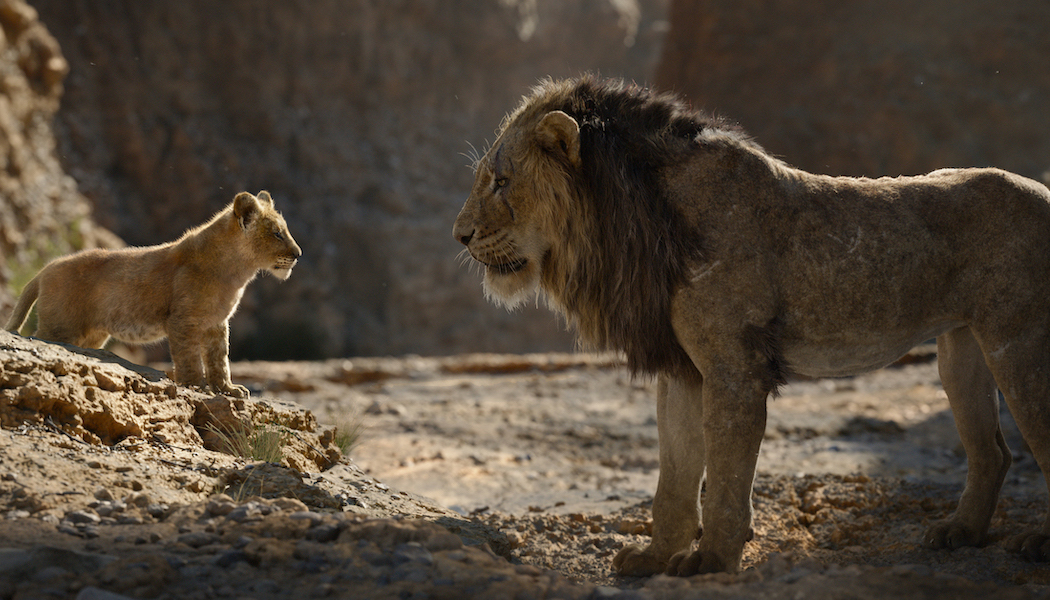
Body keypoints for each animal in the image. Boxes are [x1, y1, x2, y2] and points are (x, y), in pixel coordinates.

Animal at [6, 190, 301, 398]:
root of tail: (45, 269)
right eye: (277, 233)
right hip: (60, 328)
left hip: (91, 335)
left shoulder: (217, 323)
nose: (298, 254)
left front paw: (228, 389)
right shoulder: (182, 320)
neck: (237, 271)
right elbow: (189, 358)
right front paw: (196, 386)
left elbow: (220, 359)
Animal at [453, 75, 1050, 575]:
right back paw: (960, 533)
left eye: (501, 182)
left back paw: (1033, 543)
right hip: (962, 348)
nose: (459, 235)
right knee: (993, 452)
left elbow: (723, 476)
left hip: (1019, 343)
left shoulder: (733, 368)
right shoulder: (683, 369)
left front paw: (711, 560)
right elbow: (674, 476)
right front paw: (655, 557)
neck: (632, 221)